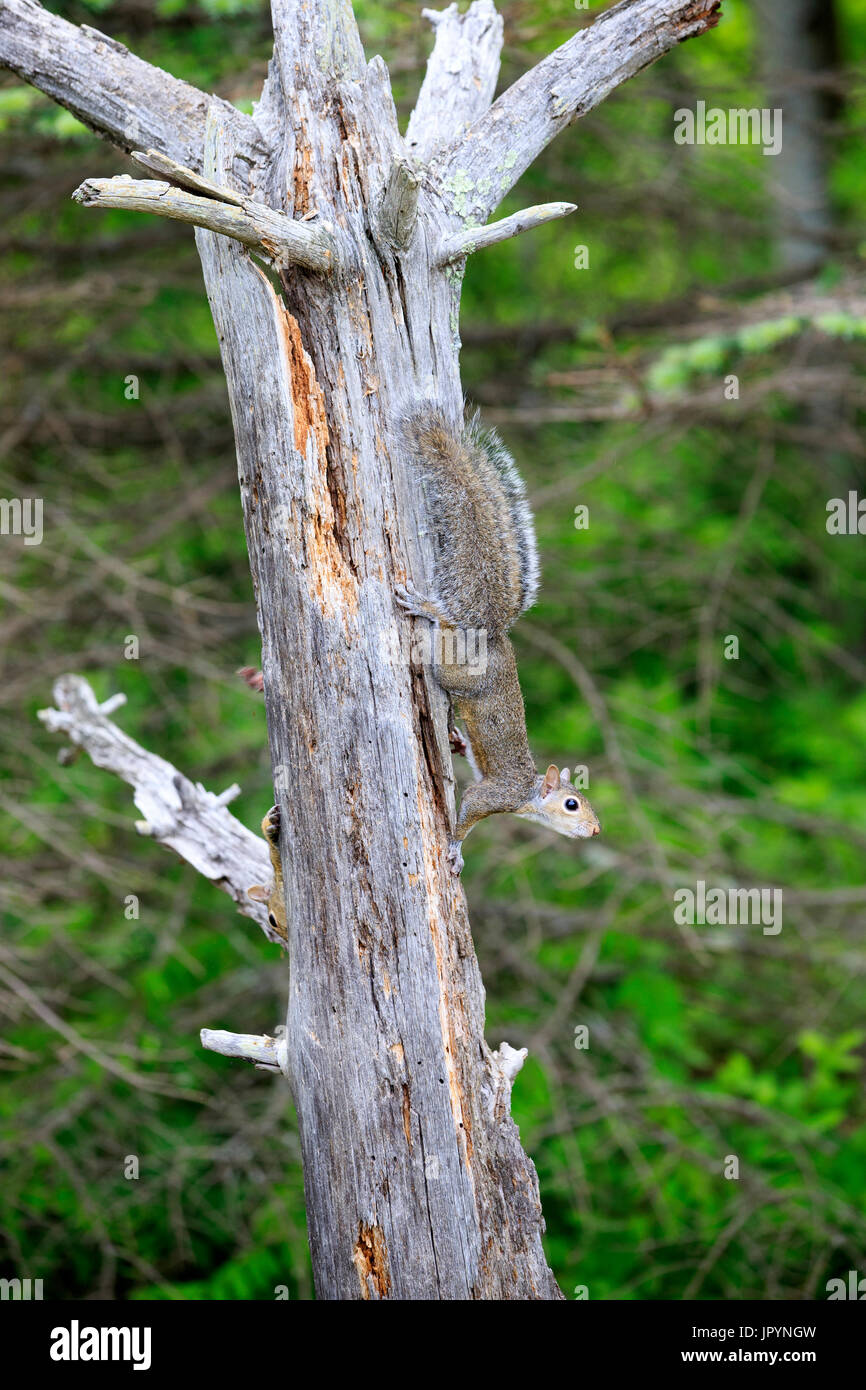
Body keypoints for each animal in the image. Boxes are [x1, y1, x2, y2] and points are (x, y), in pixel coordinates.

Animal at [397, 405, 600, 875]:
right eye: (572, 804)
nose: (597, 830)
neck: (527, 794)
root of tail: (488, 633)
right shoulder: (492, 794)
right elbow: (468, 812)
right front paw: (455, 849)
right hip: (457, 672)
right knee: (444, 645)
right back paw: (428, 608)